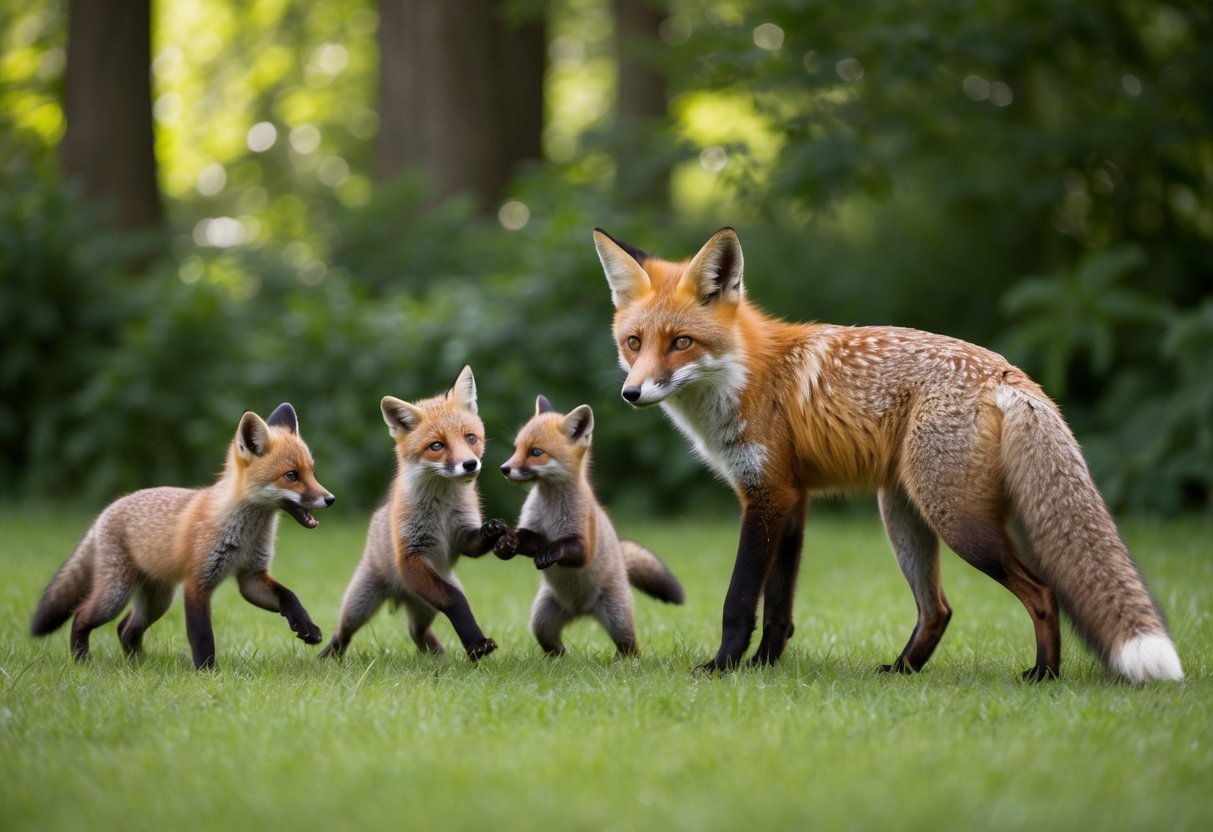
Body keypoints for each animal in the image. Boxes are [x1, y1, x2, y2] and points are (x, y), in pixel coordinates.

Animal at [30, 403, 334, 669]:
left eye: (312, 473)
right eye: (291, 475)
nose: (330, 499)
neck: (246, 534)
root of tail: (108, 509)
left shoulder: (251, 576)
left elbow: (288, 595)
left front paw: (306, 625)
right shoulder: (197, 582)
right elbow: (202, 636)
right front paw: (207, 673)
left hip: (157, 601)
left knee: (125, 629)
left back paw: (139, 665)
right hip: (115, 595)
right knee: (82, 616)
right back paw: (82, 660)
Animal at [318, 366, 509, 661]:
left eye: (470, 438)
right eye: (437, 446)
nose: (470, 464)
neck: (441, 509)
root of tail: (402, 595)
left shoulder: (461, 534)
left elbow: (474, 545)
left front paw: (493, 529)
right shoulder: (411, 556)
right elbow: (455, 601)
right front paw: (477, 644)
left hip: (426, 605)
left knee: (416, 633)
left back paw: (438, 657)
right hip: (360, 604)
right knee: (342, 633)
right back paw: (326, 658)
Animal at [494, 395, 684, 657]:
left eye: (535, 452)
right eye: (516, 448)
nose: (504, 469)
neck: (551, 510)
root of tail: (581, 611)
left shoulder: (584, 544)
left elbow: (564, 546)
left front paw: (549, 551)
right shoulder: (532, 525)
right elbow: (527, 536)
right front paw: (506, 543)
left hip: (618, 621)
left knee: (631, 648)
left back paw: (627, 662)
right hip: (542, 620)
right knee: (553, 645)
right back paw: (560, 658)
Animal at [593, 225, 1183, 683]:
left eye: (681, 343)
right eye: (634, 343)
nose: (632, 393)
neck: (747, 375)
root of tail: (1008, 373)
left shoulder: (765, 496)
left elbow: (739, 600)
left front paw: (723, 667)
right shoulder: (792, 497)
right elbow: (779, 606)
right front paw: (764, 668)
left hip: (957, 519)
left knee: (1042, 592)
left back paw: (1044, 674)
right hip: (903, 514)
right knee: (938, 609)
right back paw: (903, 671)